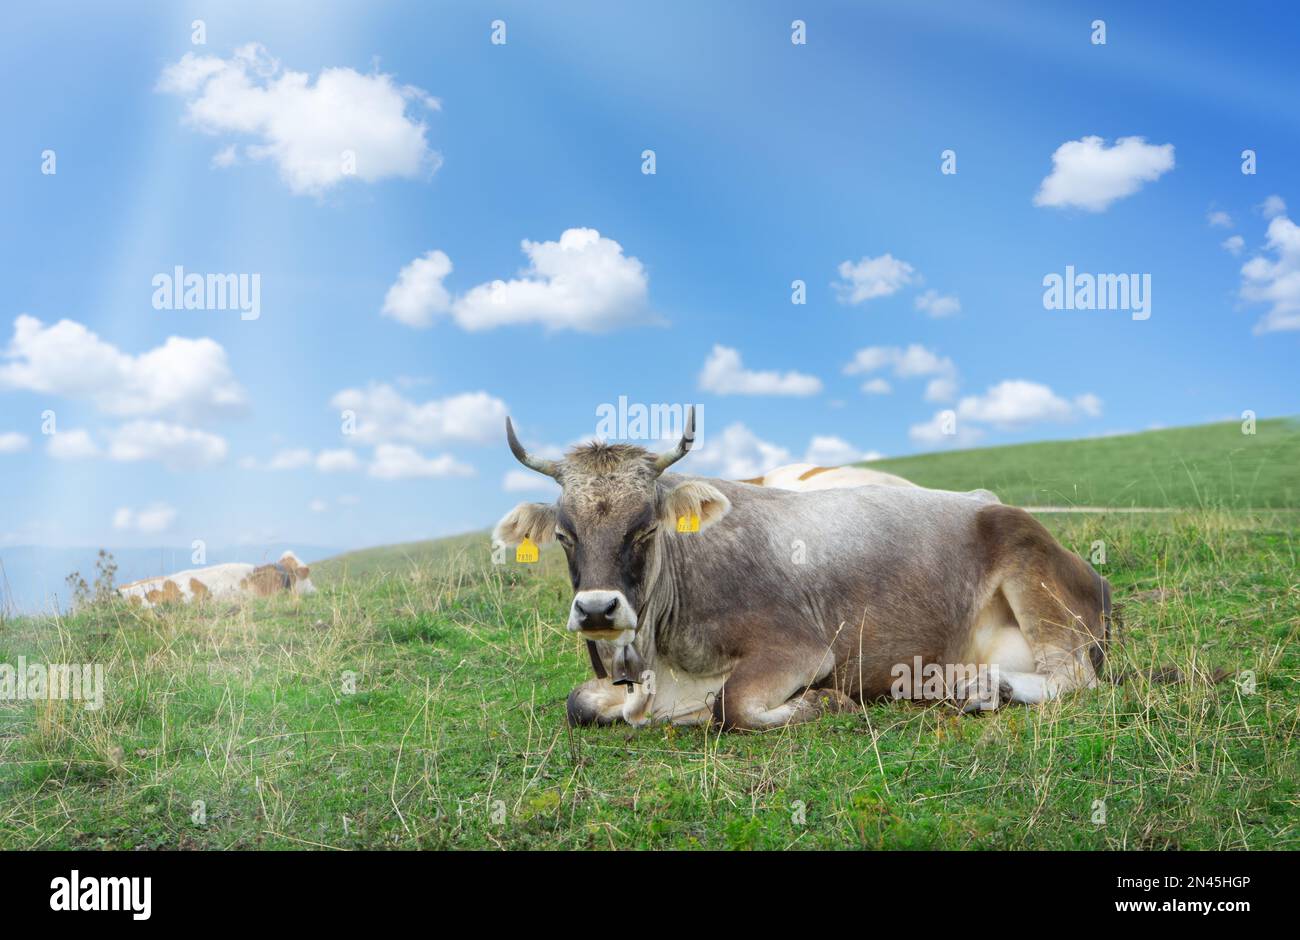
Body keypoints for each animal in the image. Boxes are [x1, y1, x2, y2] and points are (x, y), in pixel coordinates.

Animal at [494, 409, 1110, 730]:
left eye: (645, 528)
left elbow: (731, 706)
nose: (597, 610)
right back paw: (963, 684)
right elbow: (579, 704)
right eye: (565, 535)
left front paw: (826, 701)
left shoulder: (799, 649)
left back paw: (987, 688)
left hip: (1032, 573)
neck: (657, 662)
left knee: (1073, 677)